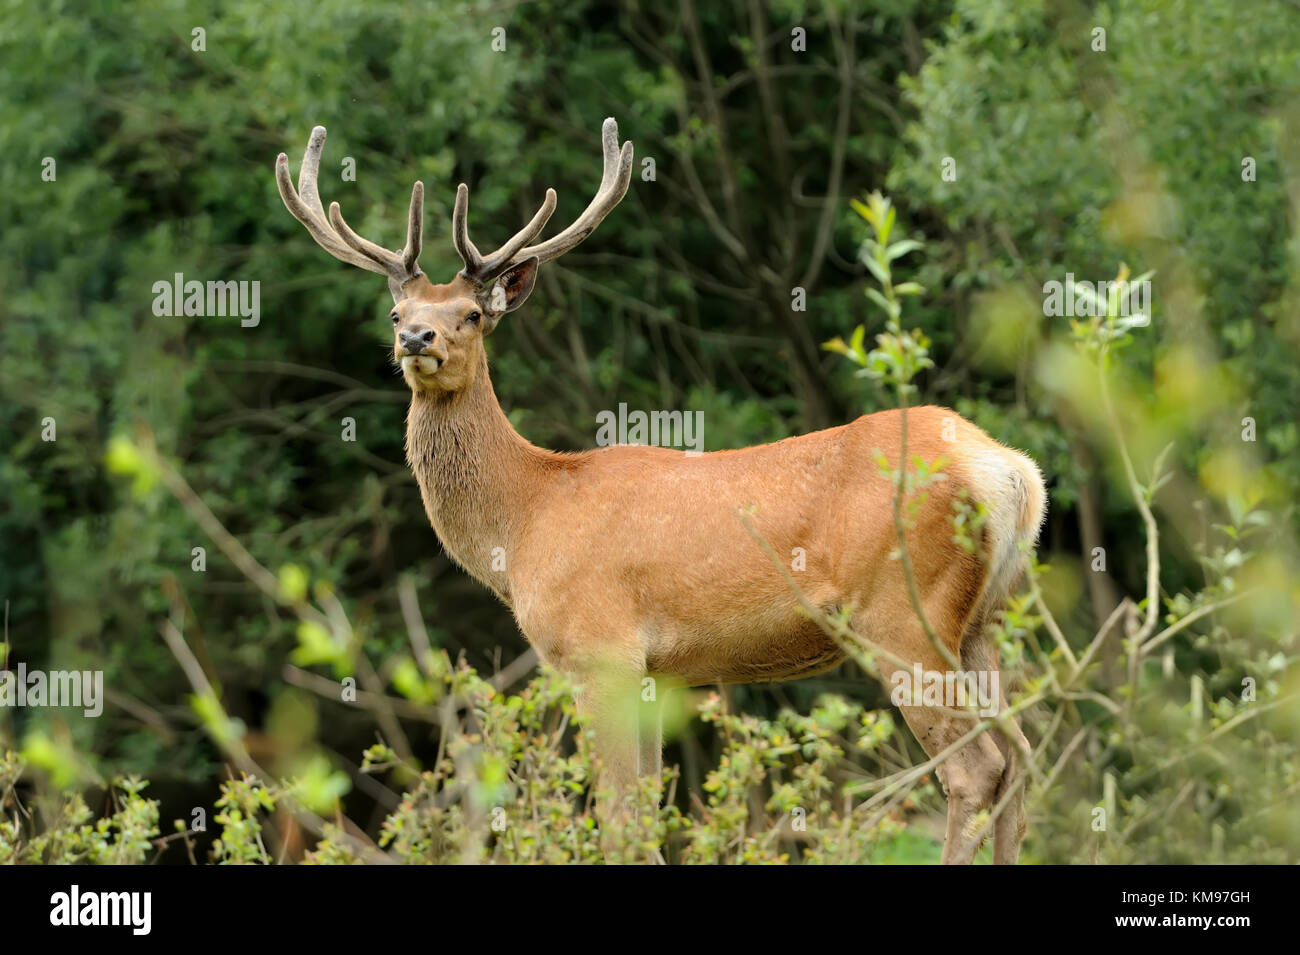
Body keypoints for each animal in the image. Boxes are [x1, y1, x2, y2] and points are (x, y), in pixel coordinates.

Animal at [274, 118, 1047, 864]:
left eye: (470, 312)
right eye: (396, 312)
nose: (416, 338)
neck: (525, 517)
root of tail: (1007, 469)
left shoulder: (599, 647)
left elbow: (619, 819)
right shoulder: (652, 672)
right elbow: (647, 816)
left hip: (901, 611)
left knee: (977, 767)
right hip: (982, 621)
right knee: (1021, 756)